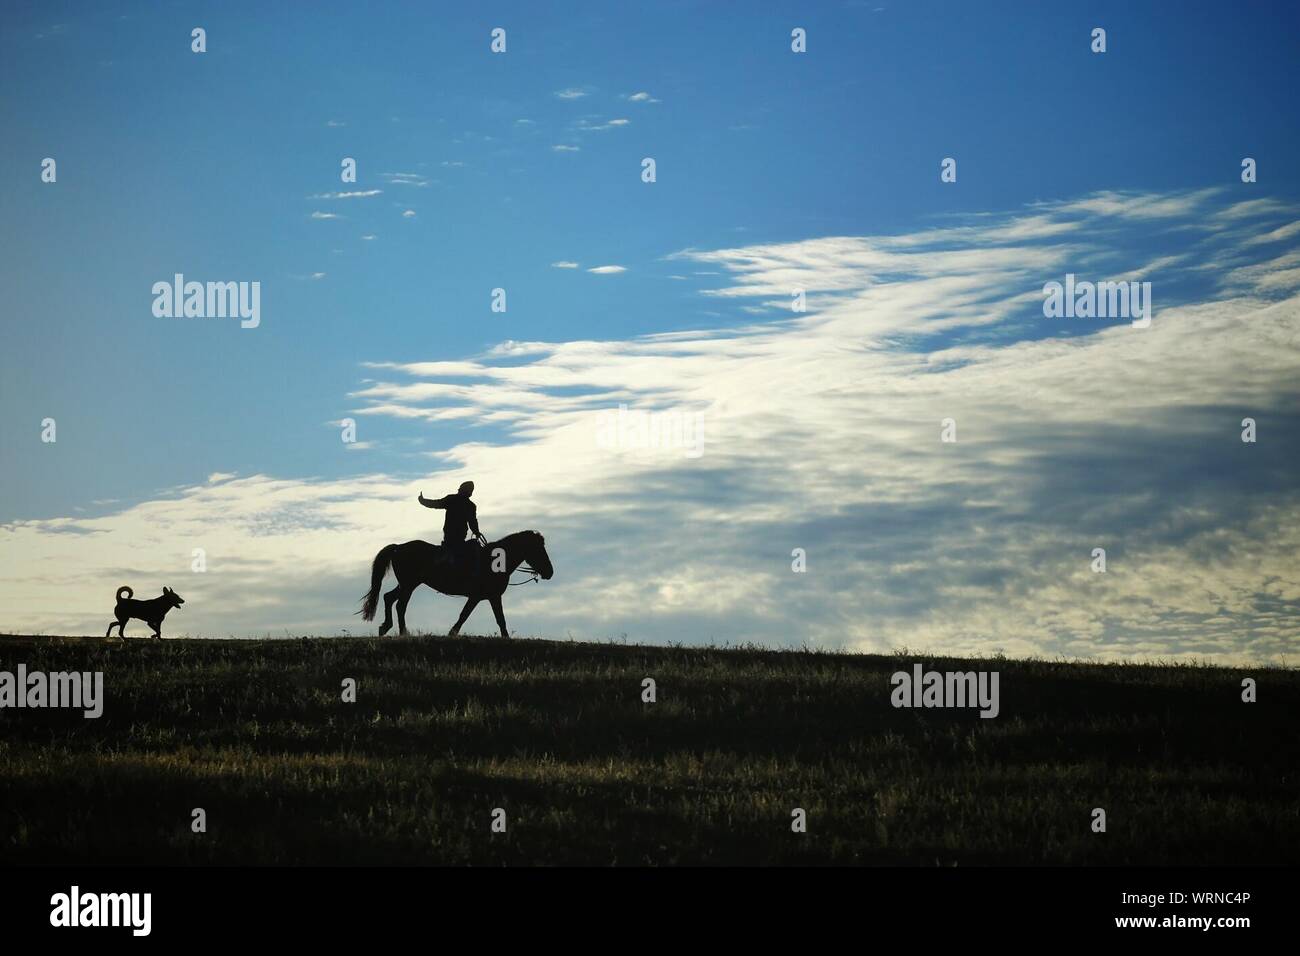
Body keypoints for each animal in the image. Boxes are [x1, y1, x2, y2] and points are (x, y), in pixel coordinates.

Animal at [359, 530, 553, 638]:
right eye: (539, 550)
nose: (549, 572)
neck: (495, 561)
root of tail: (398, 546)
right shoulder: (481, 596)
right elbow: (466, 615)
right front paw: (452, 633)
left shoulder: (490, 597)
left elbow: (499, 619)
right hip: (409, 584)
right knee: (400, 605)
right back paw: (403, 632)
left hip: (407, 584)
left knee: (388, 598)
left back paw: (385, 627)